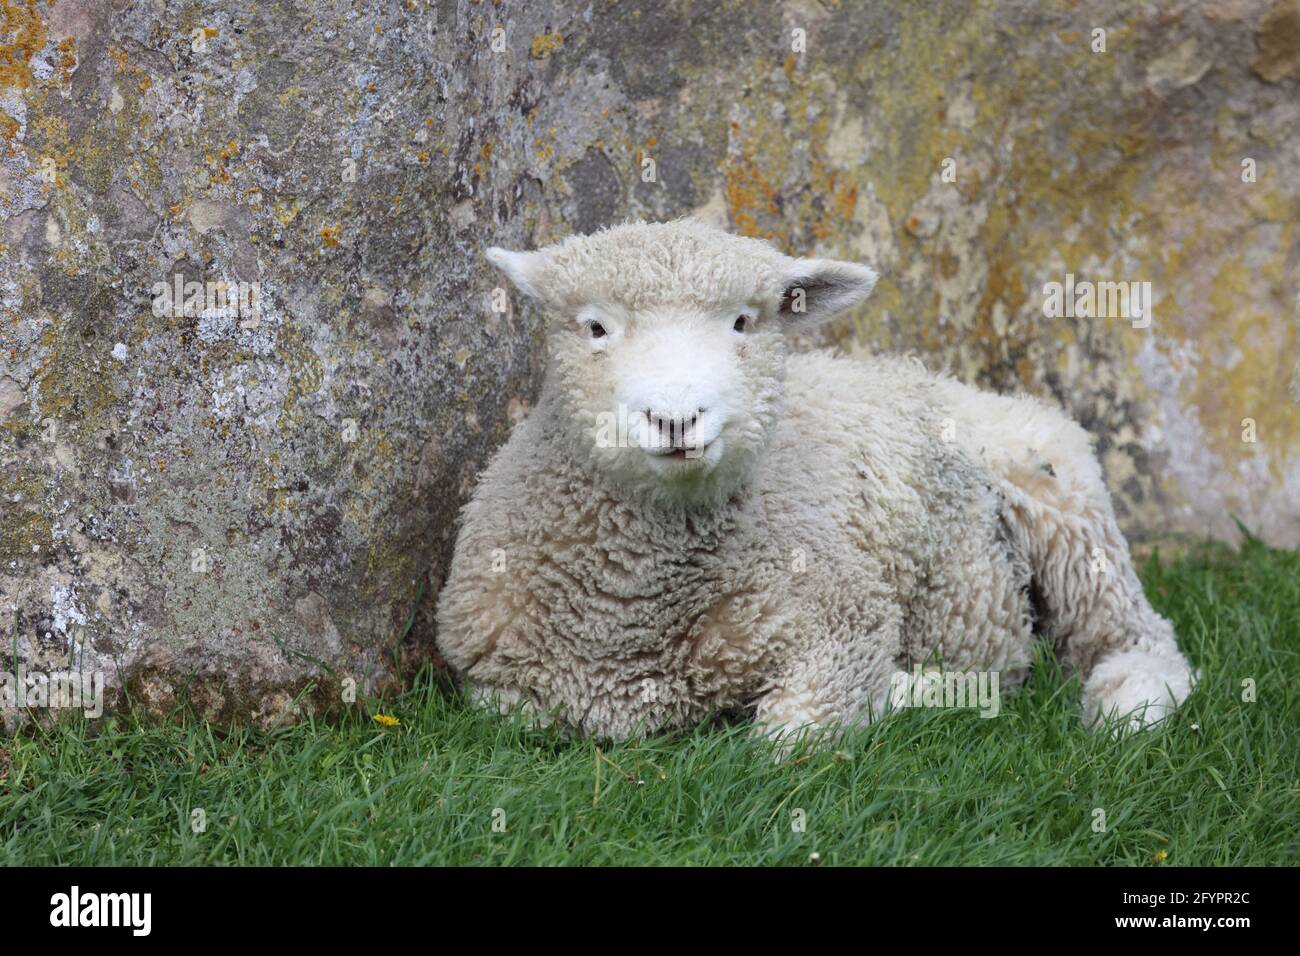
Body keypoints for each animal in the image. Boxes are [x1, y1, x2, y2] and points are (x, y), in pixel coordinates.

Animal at [435, 219, 1196, 745]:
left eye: (745, 322)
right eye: (594, 327)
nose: (676, 418)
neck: (634, 607)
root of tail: (927, 376)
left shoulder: (842, 616)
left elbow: (792, 742)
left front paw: (893, 696)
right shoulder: (494, 681)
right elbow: (511, 717)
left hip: (1063, 494)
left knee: (1134, 633)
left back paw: (1127, 702)